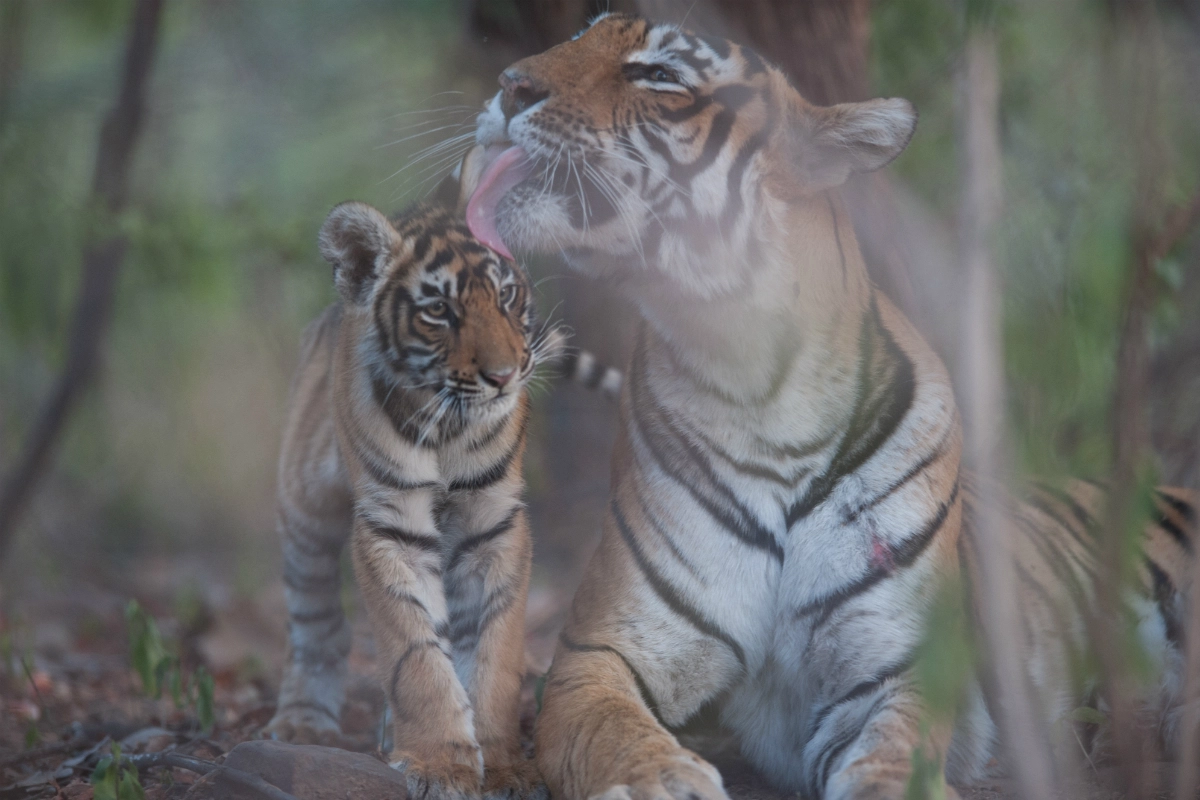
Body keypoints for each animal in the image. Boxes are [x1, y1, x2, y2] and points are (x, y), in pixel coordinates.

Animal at [262, 176, 558, 799]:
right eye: (439, 311)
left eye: (506, 296)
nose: (504, 376)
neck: (450, 425)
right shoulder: (391, 524)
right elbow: (415, 651)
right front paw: (439, 764)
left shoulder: (494, 523)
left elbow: (493, 654)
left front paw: (503, 767)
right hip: (303, 512)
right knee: (317, 623)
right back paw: (303, 719)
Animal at [459, 12, 1198, 800]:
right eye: (579, 37)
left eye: (659, 75)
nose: (509, 85)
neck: (754, 385)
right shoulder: (600, 651)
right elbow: (612, 732)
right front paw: (665, 779)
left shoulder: (893, 673)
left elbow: (891, 767)